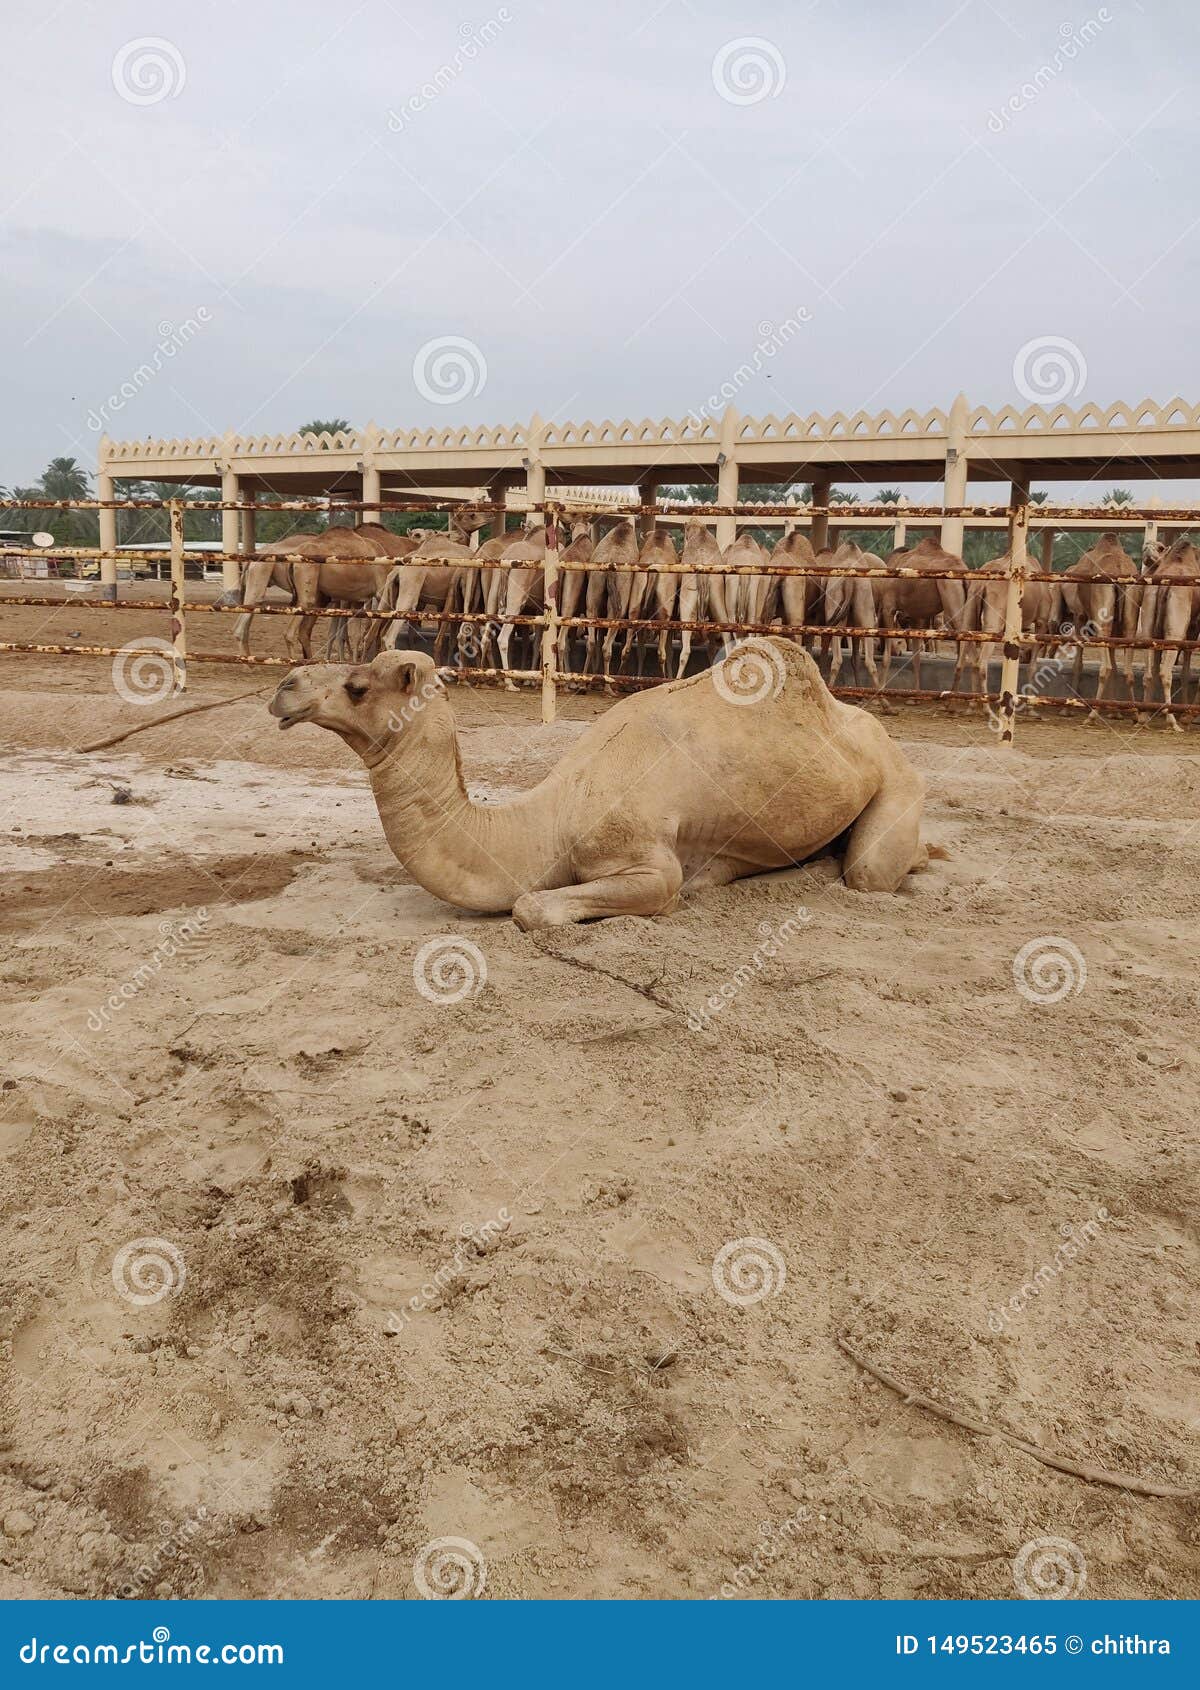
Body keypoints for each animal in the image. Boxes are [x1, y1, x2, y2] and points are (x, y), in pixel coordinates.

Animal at [268, 641, 936, 926]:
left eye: (357, 686)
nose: (284, 686)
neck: (549, 822)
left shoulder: (645, 860)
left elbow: (531, 906)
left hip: (897, 776)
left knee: (869, 872)